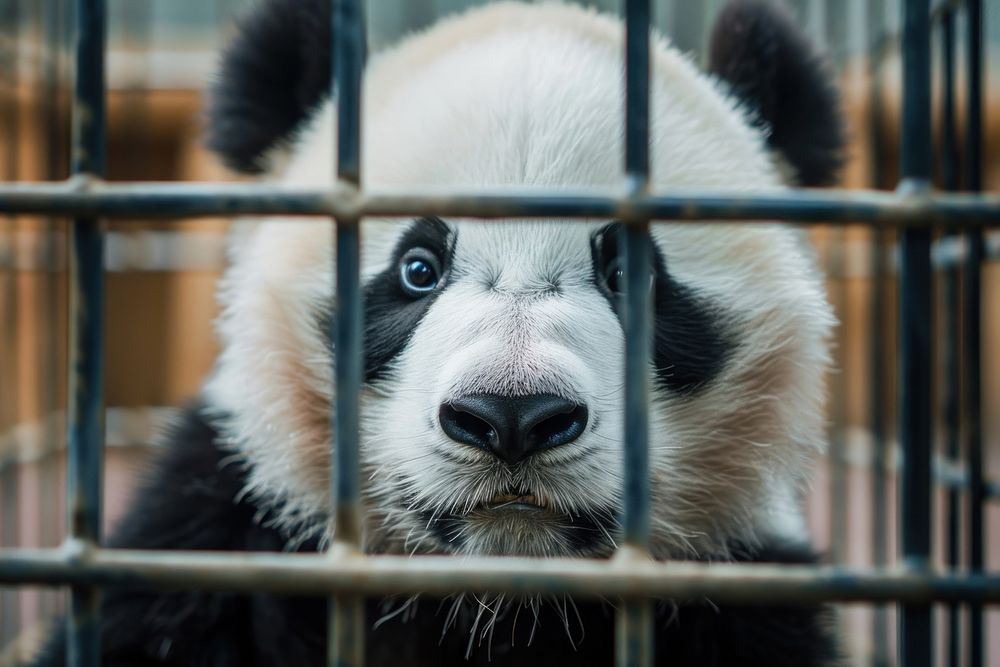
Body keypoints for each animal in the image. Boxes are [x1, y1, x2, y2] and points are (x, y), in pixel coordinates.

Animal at [32, 0, 846, 665]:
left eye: (629, 275)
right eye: (418, 268)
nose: (512, 416)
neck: (497, 603)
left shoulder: (748, 586)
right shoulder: (221, 530)